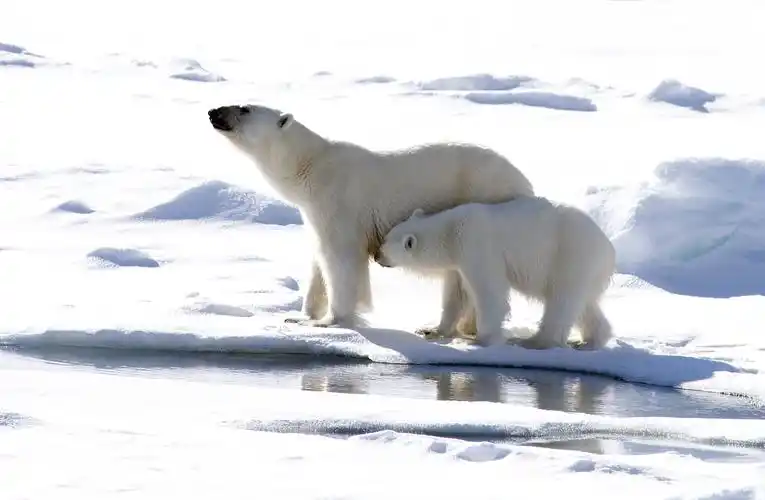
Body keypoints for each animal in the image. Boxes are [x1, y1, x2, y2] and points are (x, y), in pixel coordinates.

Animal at [207, 103, 534, 330]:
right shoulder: (314, 212)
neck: (311, 167)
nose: (213, 111)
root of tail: (525, 184)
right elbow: (317, 260)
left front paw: (330, 320)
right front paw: (300, 316)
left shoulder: (339, 203)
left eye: (245, 108)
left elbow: (340, 260)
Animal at [374, 196, 616, 350]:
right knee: (584, 304)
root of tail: (609, 250)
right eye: (385, 237)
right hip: (586, 269)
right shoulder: (460, 261)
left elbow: (489, 291)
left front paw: (481, 340)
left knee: (561, 300)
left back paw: (536, 342)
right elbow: (457, 294)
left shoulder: (474, 244)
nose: (376, 256)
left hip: (571, 255)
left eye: (384, 244)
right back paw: (589, 341)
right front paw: (432, 330)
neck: (450, 231)